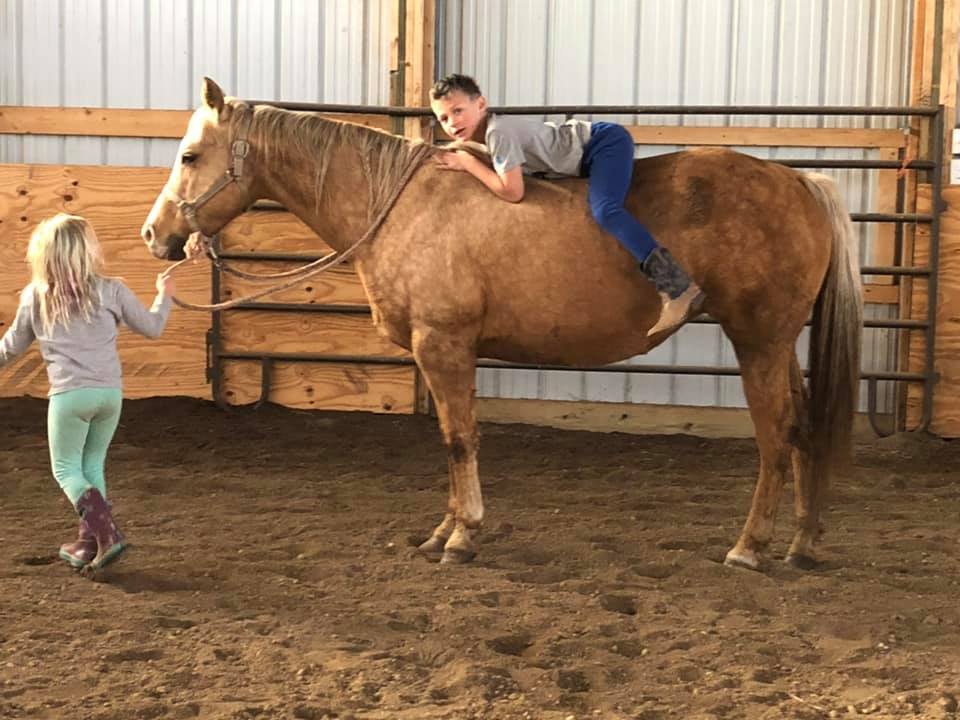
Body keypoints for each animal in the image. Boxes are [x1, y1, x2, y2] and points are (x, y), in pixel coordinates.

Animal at [143, 78, 863, 570]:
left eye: (190, 155)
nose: (156, 235)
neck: (399, 203)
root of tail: (801, 182)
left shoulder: (443, 344)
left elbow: (460, 439)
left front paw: (463, 535)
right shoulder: (442, 352)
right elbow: (449, 439)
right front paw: (443, 530)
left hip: (758, 342)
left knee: (775, 438)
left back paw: (749, 546)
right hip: (779, 346)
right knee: (803, 430)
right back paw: (803, 541)